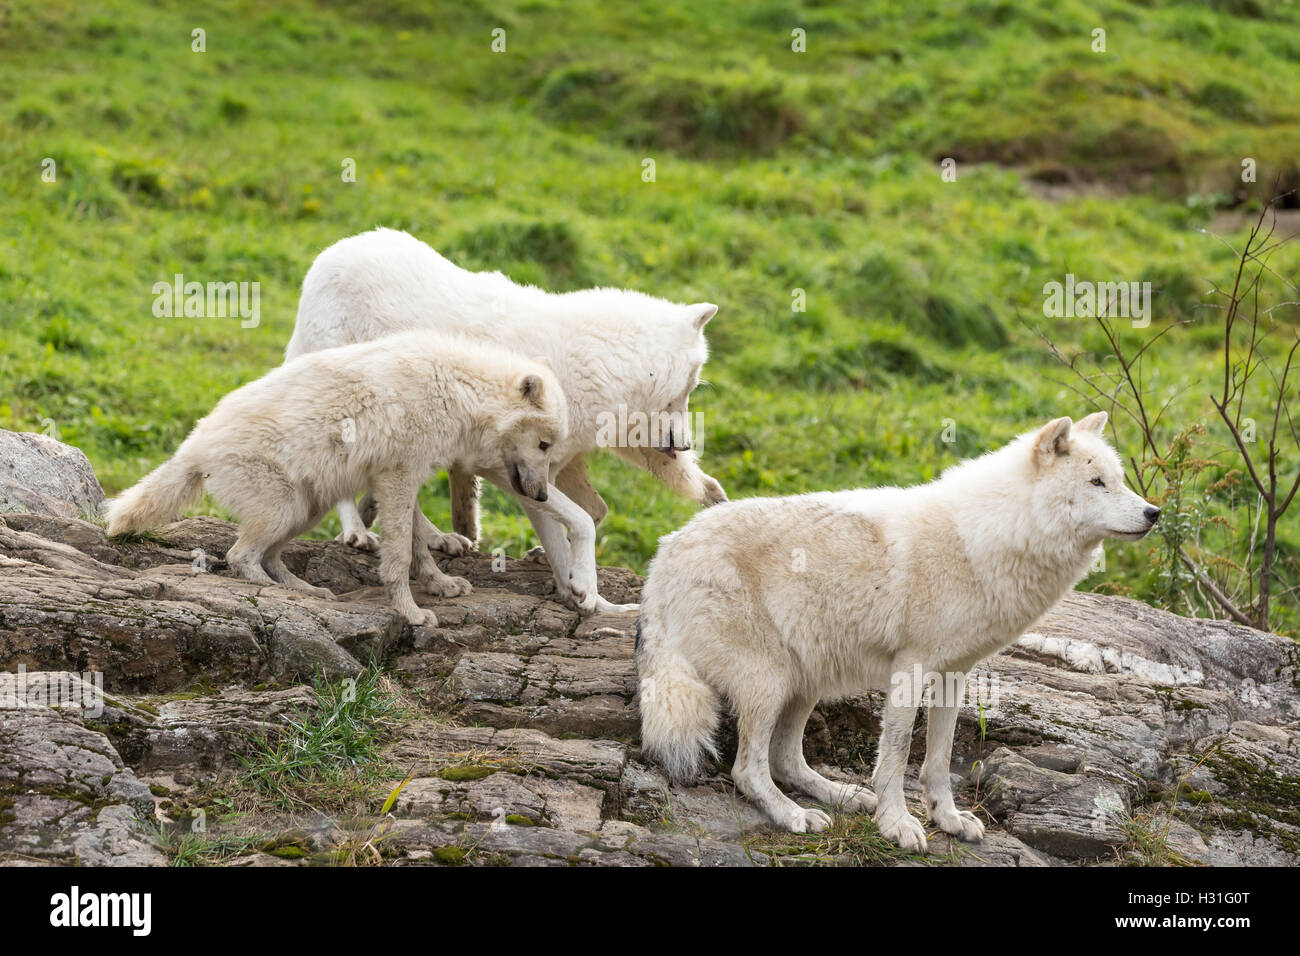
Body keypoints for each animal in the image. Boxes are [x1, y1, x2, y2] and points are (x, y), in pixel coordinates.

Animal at [106, 331, 566, 626]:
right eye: (545, 445)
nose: (543, 495)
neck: (455, 391)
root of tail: (193, 443)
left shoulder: (401, 480)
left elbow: (418, 544)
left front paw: (440, 584)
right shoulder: (399, 477)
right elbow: (399, 556)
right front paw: (411, 613)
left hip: (306, 511)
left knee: (269, 558)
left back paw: (308, 593)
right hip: (285, 509)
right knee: (241, 557)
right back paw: (279, 596)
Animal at [286, 227, 726, 614]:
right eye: (687, 389)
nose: (686, 445)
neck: (588, 367)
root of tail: (332, 253)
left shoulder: (543, 474)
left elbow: (571, 532)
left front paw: (590, 600)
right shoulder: (506, 467)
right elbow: (582, 521)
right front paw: (584, 588)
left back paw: (442, 539)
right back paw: (357, 531)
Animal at [635, 412, 1160, 851]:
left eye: (1120, 481)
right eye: (1096, 482)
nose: (1154, 513)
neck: (987, 538)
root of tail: (664, 552)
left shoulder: (955, 675)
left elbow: (938, 760)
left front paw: (947, 818)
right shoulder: (910, 668)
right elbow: (898, 751)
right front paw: (897, 824)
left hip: (805, 679)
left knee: (785, 758)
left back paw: (842, 795)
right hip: (771, 681)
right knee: (747, 770)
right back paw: (795, 816)